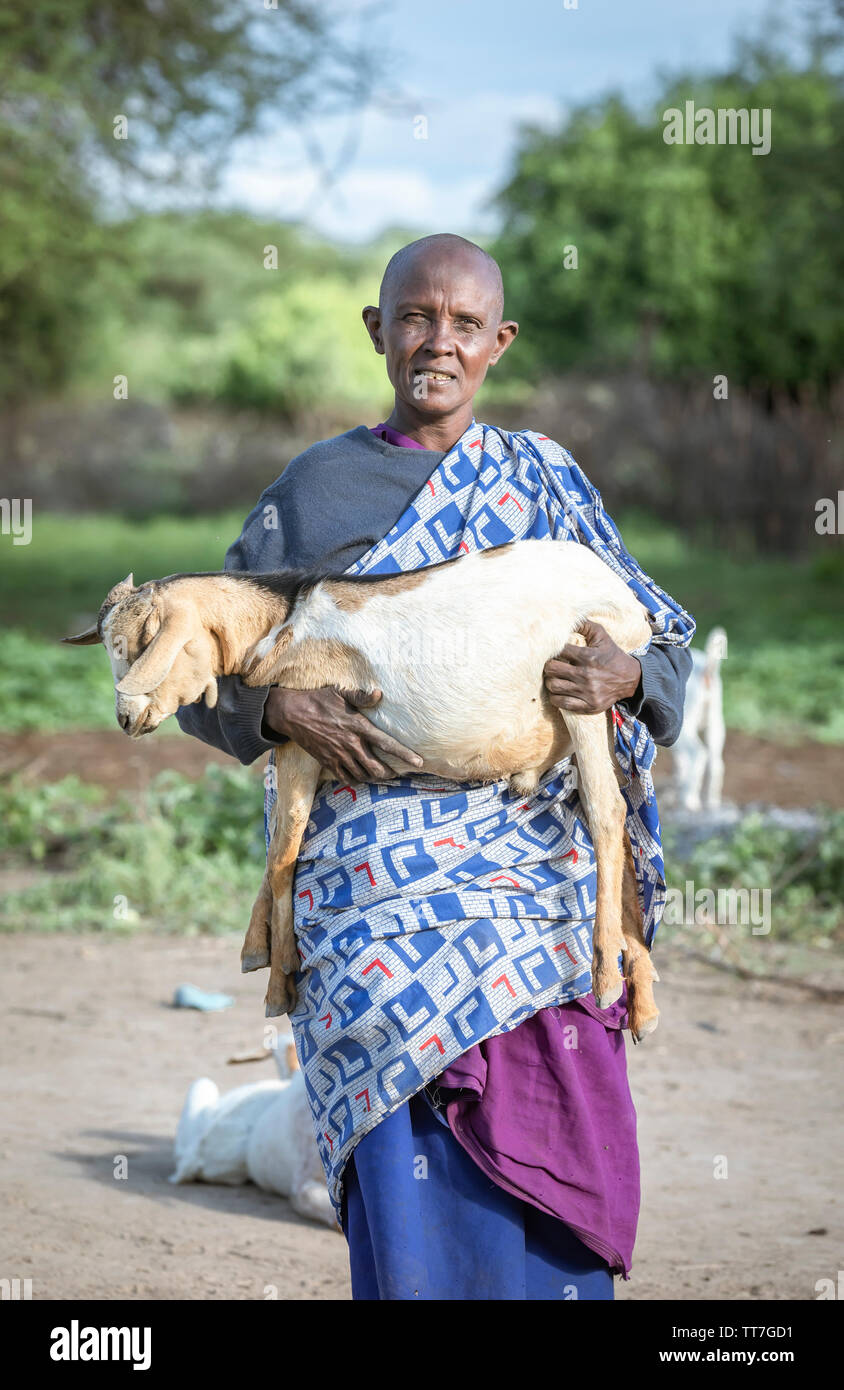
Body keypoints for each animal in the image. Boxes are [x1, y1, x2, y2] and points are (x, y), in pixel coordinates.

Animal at [62, 539, 660, 1040]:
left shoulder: (304, 739)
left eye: (141, 644)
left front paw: (280, 982)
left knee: (607, 812)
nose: (126, 718)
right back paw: (641, 995)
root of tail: (631, 606)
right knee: (624, 824)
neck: (280, 621)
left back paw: (606, 975)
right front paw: (256, 946)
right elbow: (276, 843)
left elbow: (284, 853)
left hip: (579, 676)